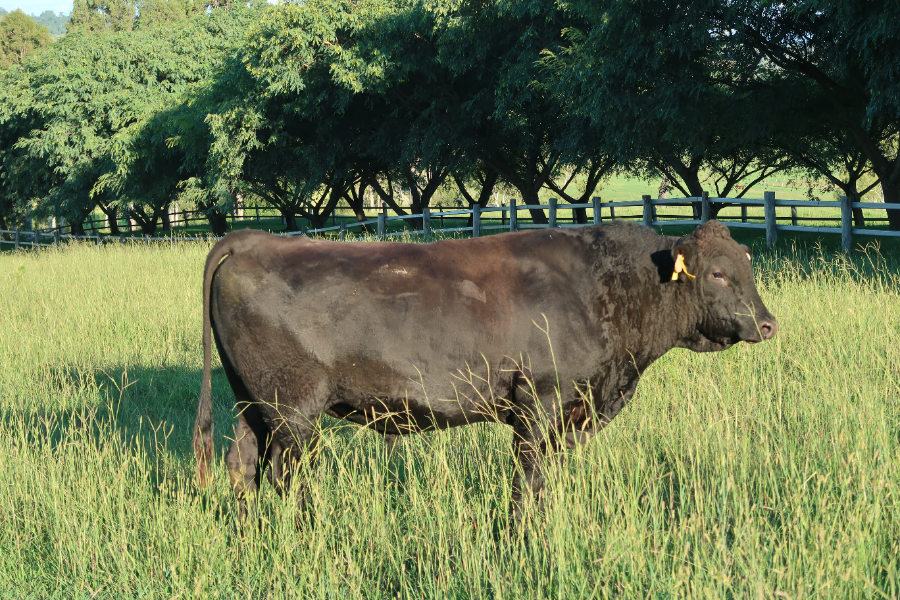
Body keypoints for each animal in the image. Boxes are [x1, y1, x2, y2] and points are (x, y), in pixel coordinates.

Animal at [192, 220, 777, 521]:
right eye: (718, 274)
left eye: (748, 266)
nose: (768, 324)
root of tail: (256, 238)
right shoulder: (539, 403)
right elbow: (528, 475)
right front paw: (521, 534)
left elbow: (545, 477)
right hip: (293, 408)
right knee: (286, 474)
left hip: (253, 402)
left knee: (242, 463)